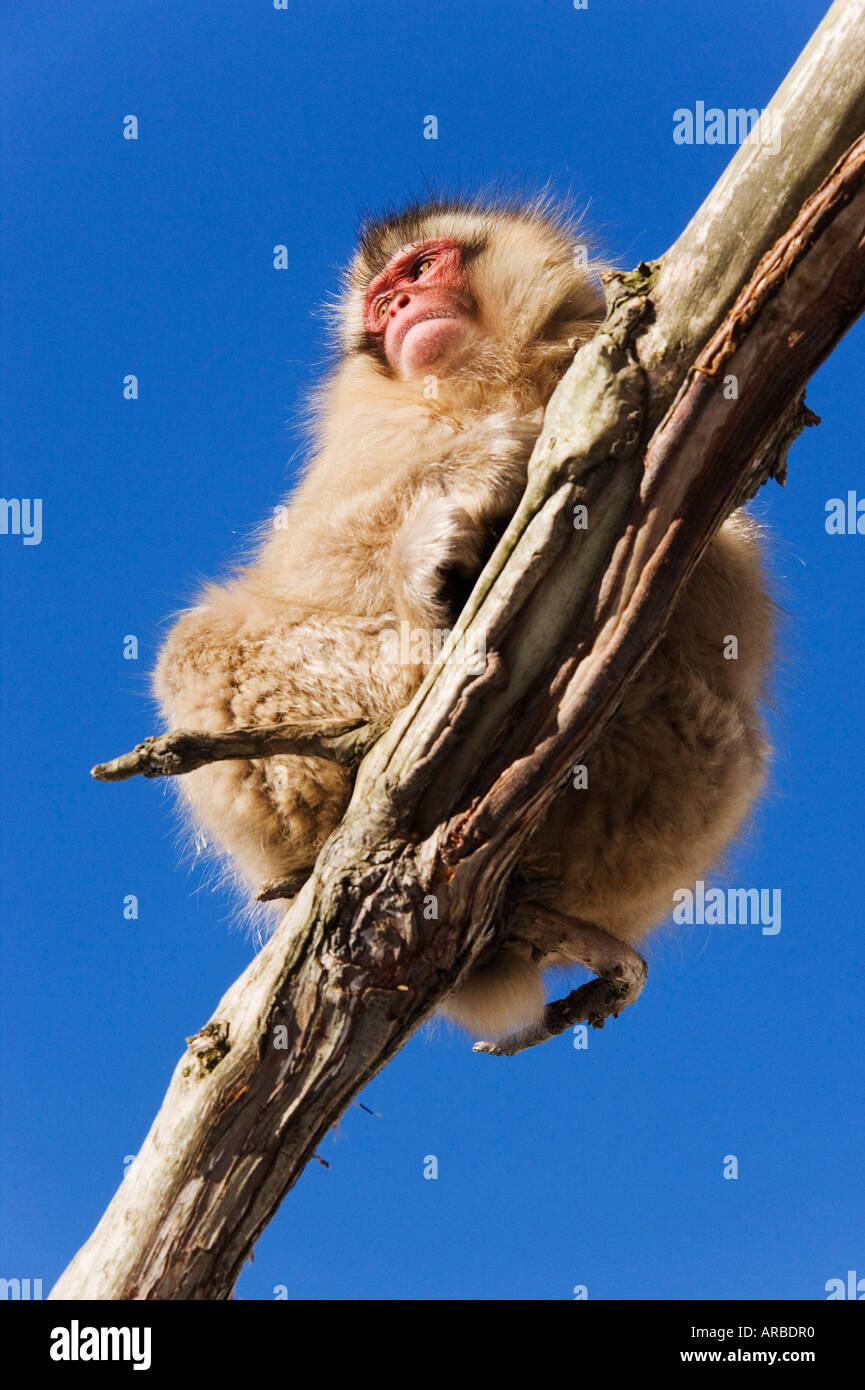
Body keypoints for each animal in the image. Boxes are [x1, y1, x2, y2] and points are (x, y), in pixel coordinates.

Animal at [153, 195, 773, 1040]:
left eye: (420, 268)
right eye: (381, 300)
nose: (400, 309)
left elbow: (725, 590)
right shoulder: (370, 417)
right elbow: (311, 562)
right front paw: (476, 472)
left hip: (682, 757)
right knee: (197, 647)